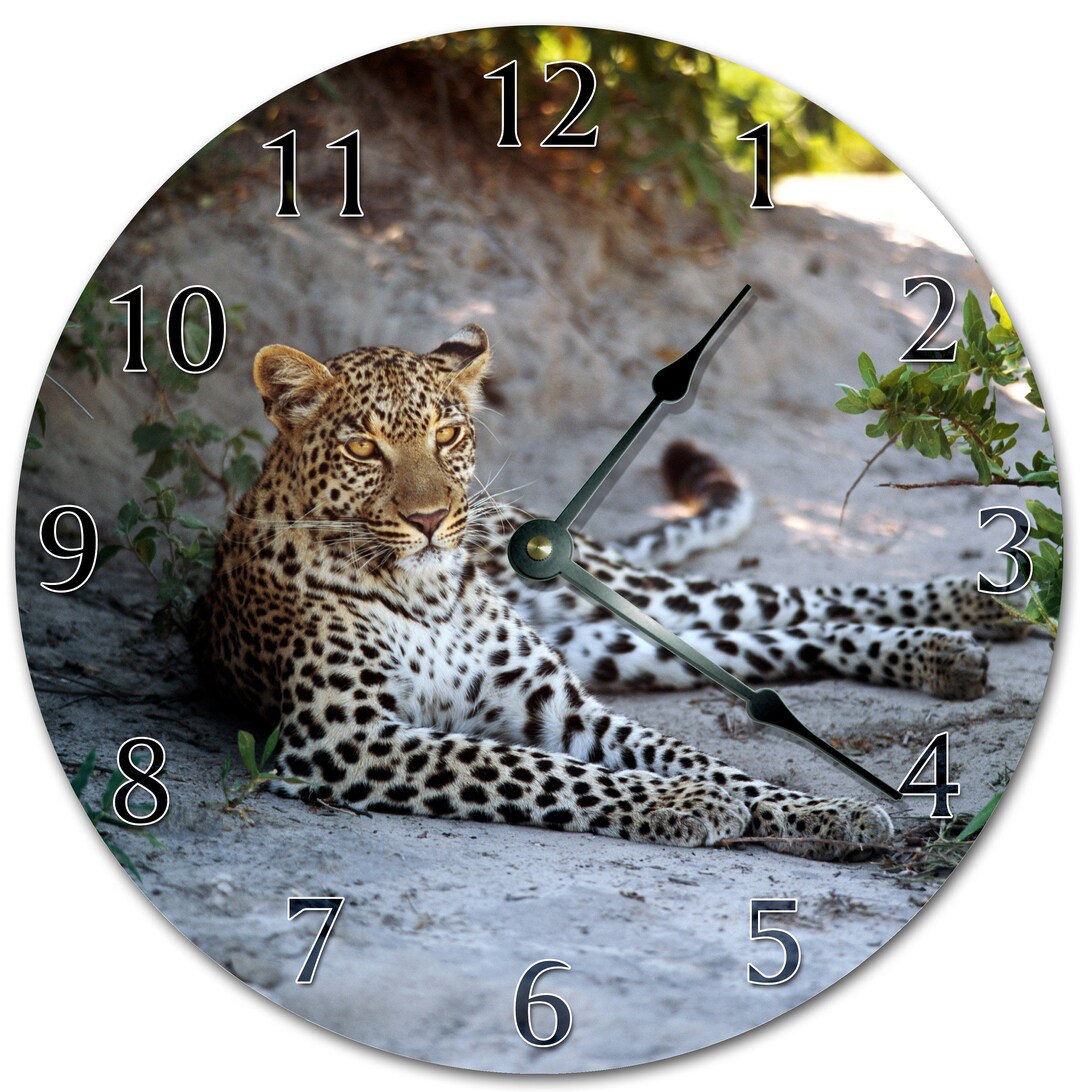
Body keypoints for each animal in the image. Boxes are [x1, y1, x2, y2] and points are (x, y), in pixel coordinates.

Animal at [193, 324, 1020, 860]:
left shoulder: (557, 704)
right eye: (364, 448)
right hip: (618, 643)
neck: (427, 593)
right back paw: (951, 646)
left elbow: (693, 758)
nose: (429, 520)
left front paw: (825, 811)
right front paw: (691, 806)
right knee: (756, 642)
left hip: (619, 599)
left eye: (447, 436)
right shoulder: (346, 736)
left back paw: (974, 611)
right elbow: (554, 772)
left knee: (776, 603)